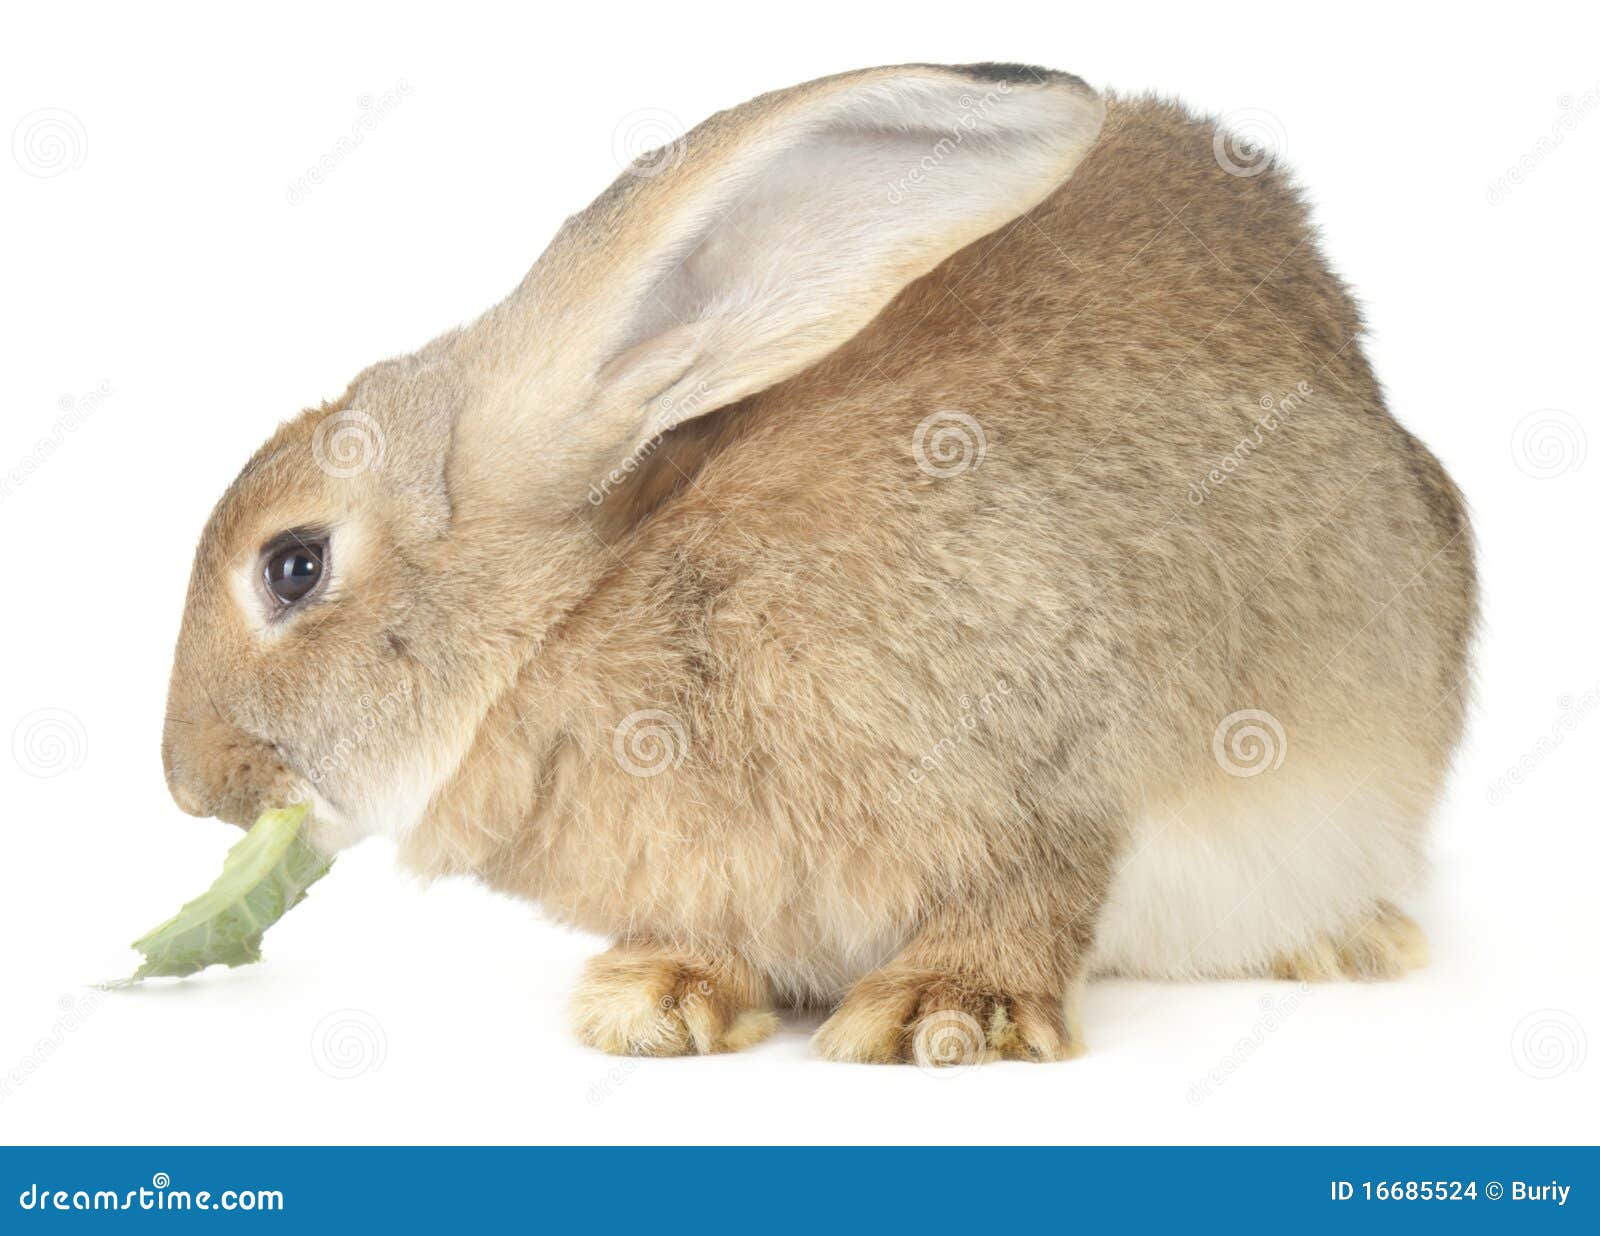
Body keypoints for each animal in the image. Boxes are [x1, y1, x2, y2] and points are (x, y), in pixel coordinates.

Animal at [161, 62, 1476, 1065]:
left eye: (293, 566)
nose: (192, 785)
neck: (575, 620)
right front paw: (652, 1002)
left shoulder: (1050, 765)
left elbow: (1030, 890)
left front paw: (943, 1018)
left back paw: (1343, 945)